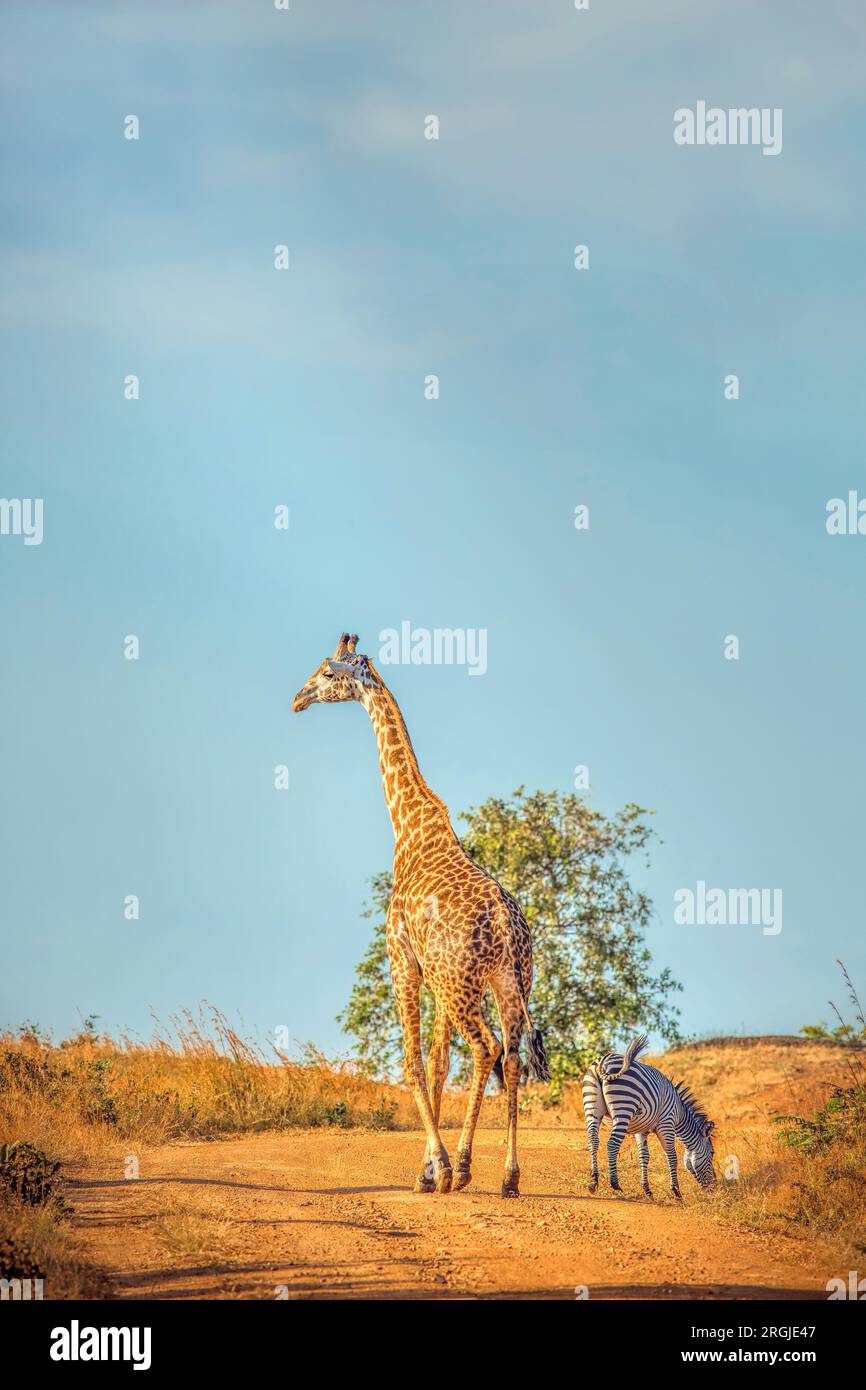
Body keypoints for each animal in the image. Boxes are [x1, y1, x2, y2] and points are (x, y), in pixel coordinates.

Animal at [292, 632, 549, 1198]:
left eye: (326, 673)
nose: (297, 699)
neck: (409, 827)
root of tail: (505, 923)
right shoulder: (438, 976)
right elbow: (437, 1063)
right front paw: (430, 1168)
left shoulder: (402, 959)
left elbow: (413, 1064)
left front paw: (437, 1171)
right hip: (507, 981)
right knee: (513, 1058)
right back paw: (509, 1177)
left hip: (459, 982)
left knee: (486, 1050)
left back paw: (467, 1169)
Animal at [582, 1034, 716, 1199]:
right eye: (712, 1154)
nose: (714, 1187)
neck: (679, 1113)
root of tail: (604, 1061)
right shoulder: (667, 1123)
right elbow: (672, 1156)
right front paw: (676, 1191)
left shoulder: (641, 1130)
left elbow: (644, 1156)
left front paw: (647, 1190)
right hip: (623, 1108)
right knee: (612, 1143)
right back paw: (615, 1183)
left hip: (591, 1108)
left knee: (593, 1140)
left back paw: (593, 1181)